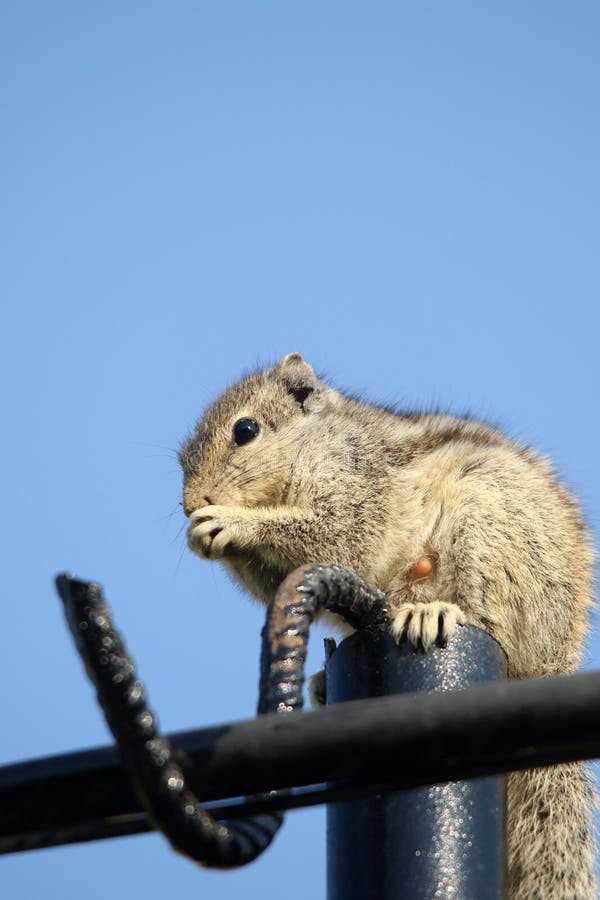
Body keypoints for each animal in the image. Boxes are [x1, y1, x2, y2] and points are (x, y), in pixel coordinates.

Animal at [180, 352, 596, 900]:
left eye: (245, 431)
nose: (191, 502)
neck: (313, 445)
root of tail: (555, 658)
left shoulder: (361, 486)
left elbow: (337, 534)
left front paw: (232, 522)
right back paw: (322, 680)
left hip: (490, 528)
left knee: (491, 618)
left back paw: (433, 612)